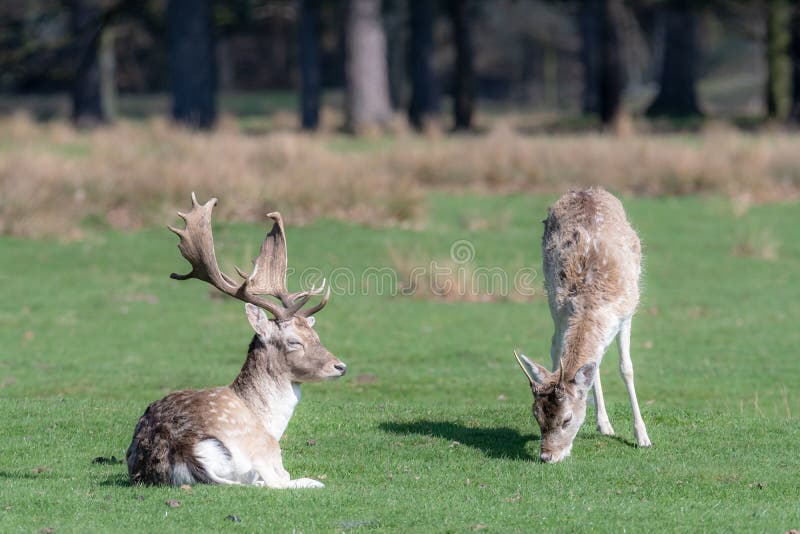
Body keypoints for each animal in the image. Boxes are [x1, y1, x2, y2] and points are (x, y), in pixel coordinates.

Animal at [126, 193, 346, 488]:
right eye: (294, 342)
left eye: (315, 336)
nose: (340, 366)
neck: (267, 419)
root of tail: (182, 447)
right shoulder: (271, 452)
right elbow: (283, 478)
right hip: (259, 449)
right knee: (278, 483)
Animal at [514, 187, 652, 463]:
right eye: (536, 416)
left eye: (567, 419)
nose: (546, 456)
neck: (591, 301)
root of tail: (585, 189)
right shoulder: (559, 312)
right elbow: (559, 354)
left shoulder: (627, 313)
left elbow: (626, 368)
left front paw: (643, 437)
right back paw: (604, 423)